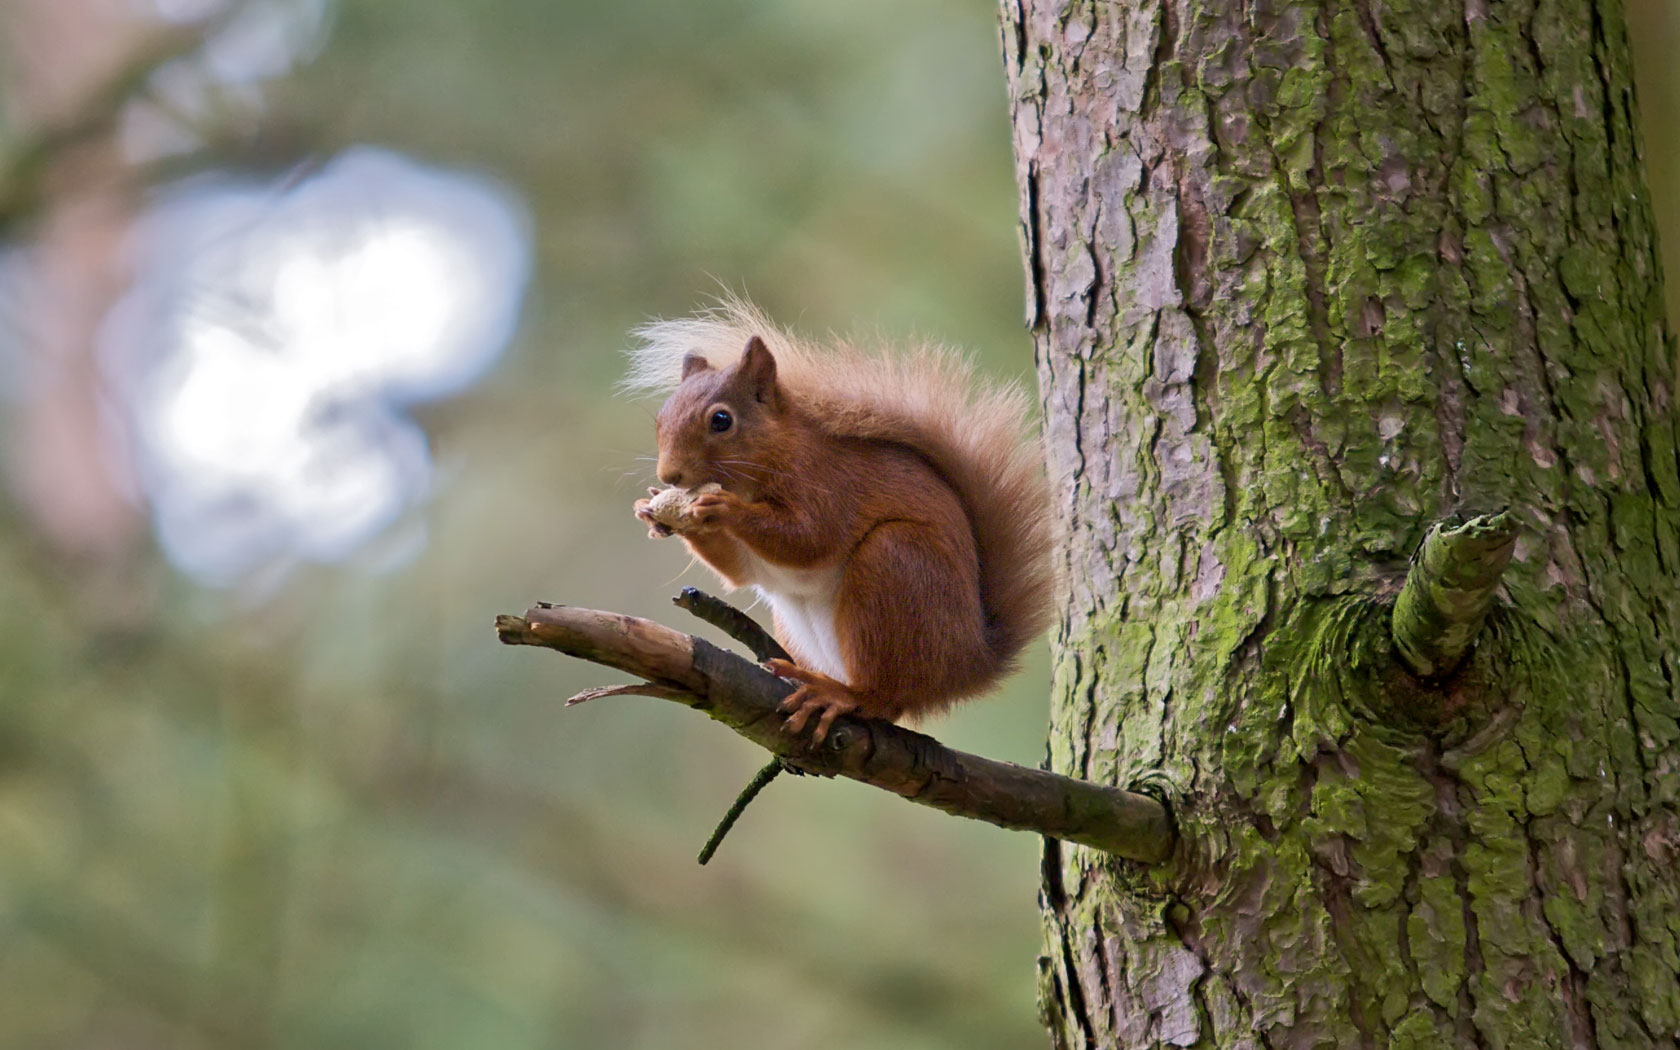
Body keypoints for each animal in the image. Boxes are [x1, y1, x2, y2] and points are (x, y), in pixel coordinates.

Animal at [629, 301, 1052, 744]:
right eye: (660, 419)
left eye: (722, 420)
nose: (669, 475)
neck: (772, 458)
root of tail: (970, 664)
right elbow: (740, 572)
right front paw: (652, 509)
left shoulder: (829, 485)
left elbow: (809, 539)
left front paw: (722, 508)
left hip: (894, 571)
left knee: (886, 697)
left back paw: (838, 695)